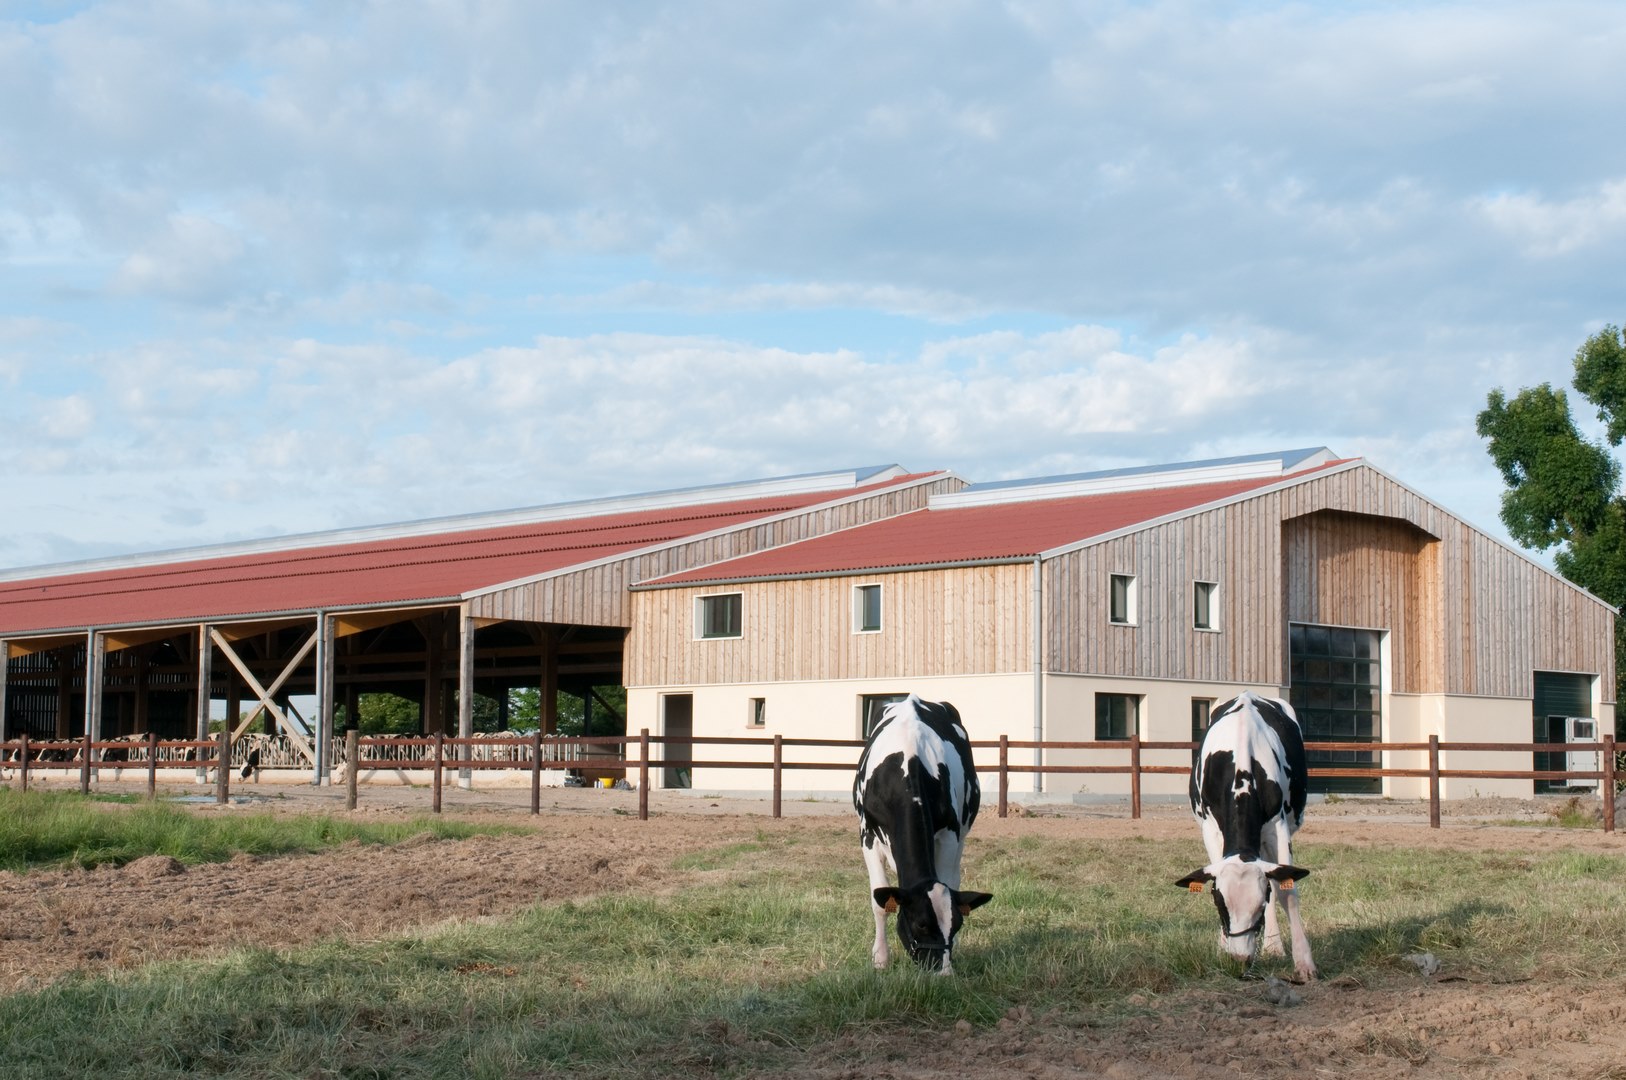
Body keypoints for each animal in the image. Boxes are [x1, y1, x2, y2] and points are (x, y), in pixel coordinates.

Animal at [852, 696, 988, 975]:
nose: (944, 973)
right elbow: (879, 902)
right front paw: (880, 959)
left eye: (957, 924)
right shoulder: (867, 836)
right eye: (921, 924)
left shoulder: (950, 834)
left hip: (962, 834)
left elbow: (949, 882)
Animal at [1183, 692, 1320, 975]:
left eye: (1259, 906)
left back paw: (1273, 946)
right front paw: (1222, 948)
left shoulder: (1277, 828)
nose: (1240, 960)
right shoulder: (1210, 829)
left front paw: (1304, 962)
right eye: (1219, 903)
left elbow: (1286, 892)